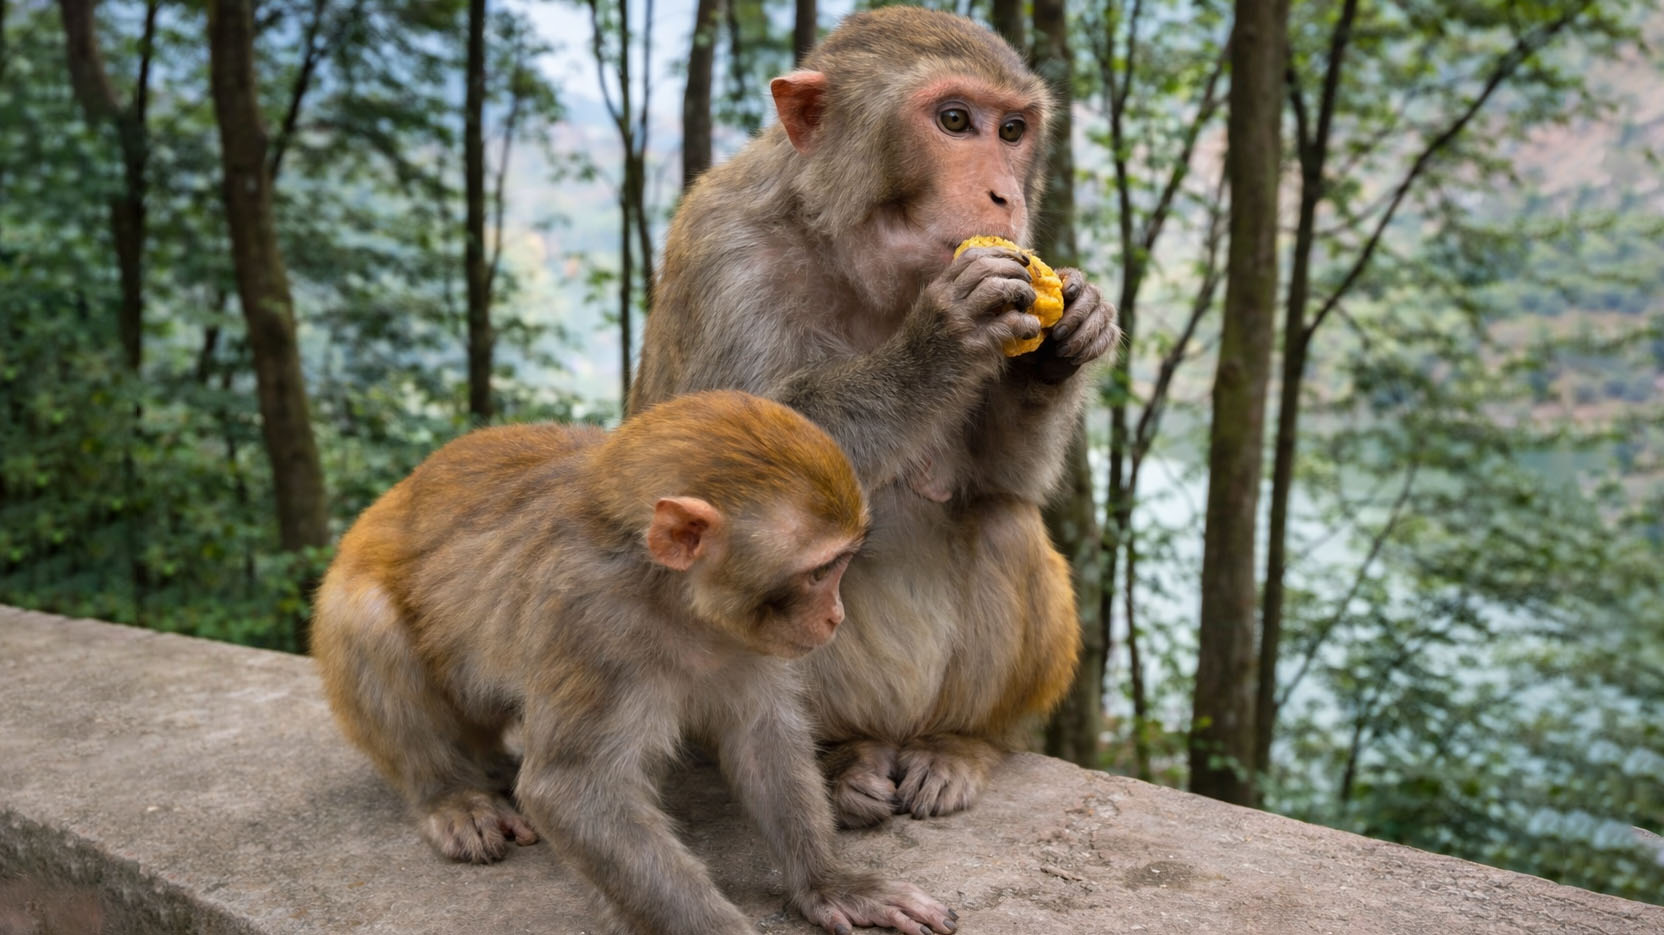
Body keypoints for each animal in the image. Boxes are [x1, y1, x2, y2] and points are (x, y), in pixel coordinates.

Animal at [311, 390, 957, 935]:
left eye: (843, 564)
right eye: (821, 572)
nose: (835, 617)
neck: (673, 600)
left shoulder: (745, 639)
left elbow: (763, 739)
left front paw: (830, 883)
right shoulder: (590, 623)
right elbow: (572, 789)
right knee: (369, 619)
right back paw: (450, 795)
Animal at [631, 7, 1121, 828]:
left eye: (1011, 130)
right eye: (954, 121)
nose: (1004, 196)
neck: (848, 253)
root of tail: (895, 726)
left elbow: (1000, 477)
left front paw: (1068, 336)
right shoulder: (724, 252)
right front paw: (942, 336)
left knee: (1004, 520)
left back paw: (958, 744)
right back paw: (841, 761)